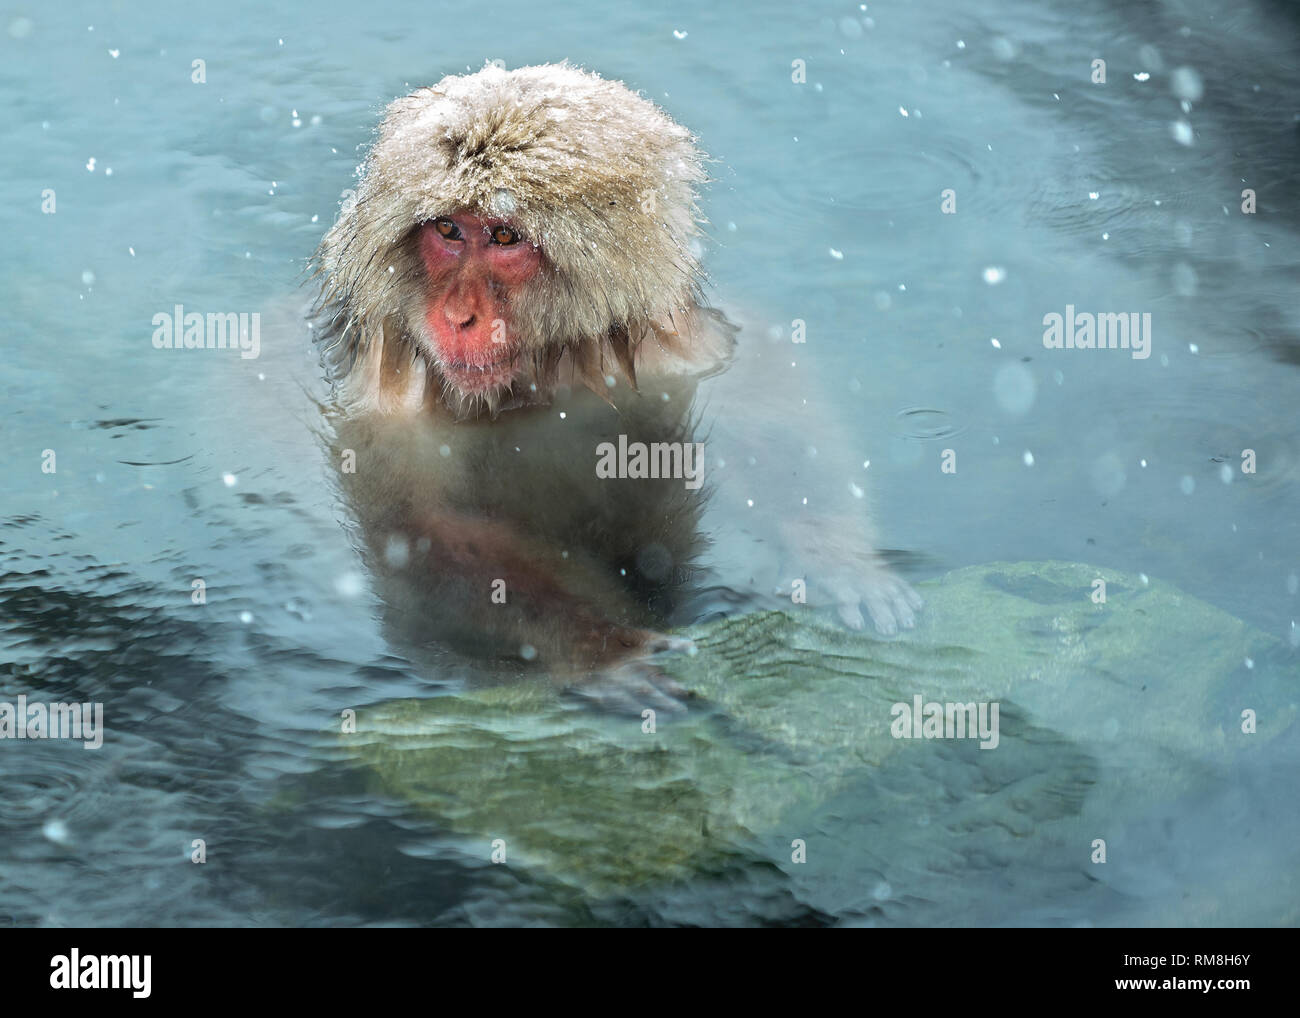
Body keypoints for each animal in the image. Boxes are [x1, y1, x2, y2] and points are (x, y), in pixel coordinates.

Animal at [311, 63, 921, 713]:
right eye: (448, 229)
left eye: (503, 237)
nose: (457, 316)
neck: (540, 375)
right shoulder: (390, 408)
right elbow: (420, 536)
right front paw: (602, 649)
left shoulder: (664, 342)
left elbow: (764, 394)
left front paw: (837, 560)